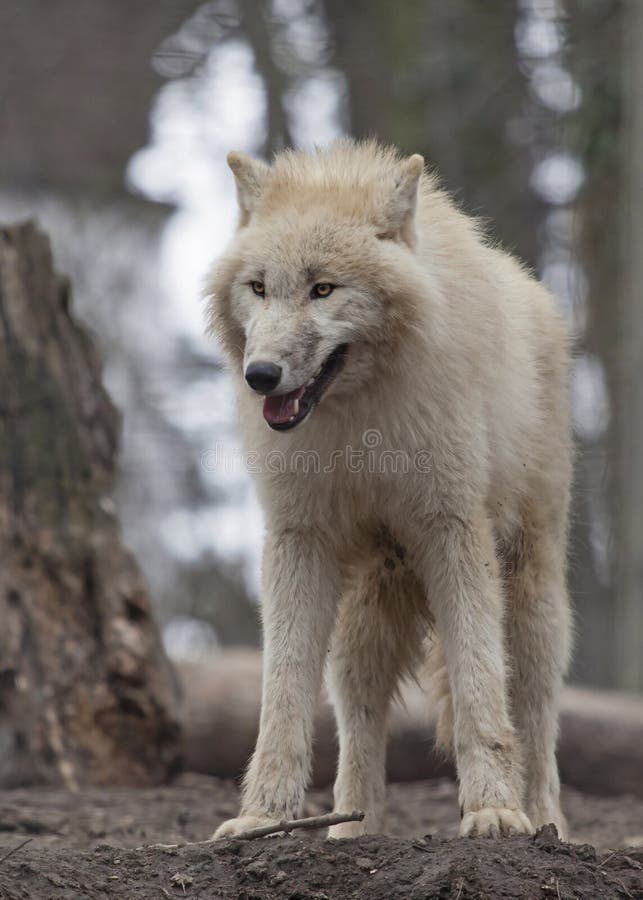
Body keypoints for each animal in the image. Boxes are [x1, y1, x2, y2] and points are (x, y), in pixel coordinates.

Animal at [207, 140, 572, 840]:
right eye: (259, 287)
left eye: (323, 288)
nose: (260, 375)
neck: (359, 424)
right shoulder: (298, 539)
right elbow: (281, 695)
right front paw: (261, 818)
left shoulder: (454, 530)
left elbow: (480, 685)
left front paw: (493, 811)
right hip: (366, 605)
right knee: (359, 710)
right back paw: (353, 828)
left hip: (530, 594)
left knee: (535, 709)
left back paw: (547, 825)